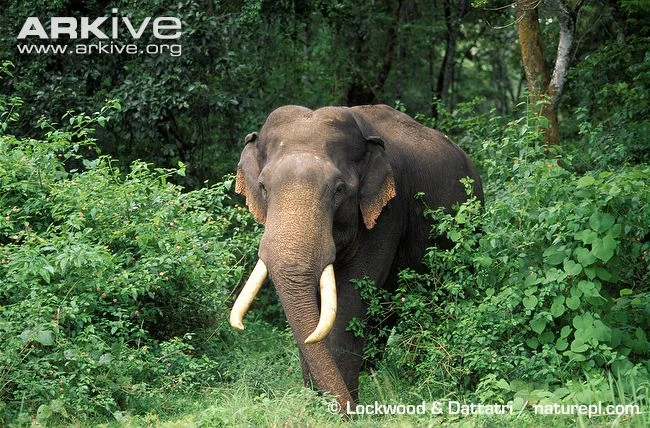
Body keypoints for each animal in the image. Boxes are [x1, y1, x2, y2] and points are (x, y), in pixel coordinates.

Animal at [229, 104, 483, 413]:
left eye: (339, 190)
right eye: (263, 187)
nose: (346, 409)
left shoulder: (388, 212)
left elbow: (352, 294)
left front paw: (341, 410)